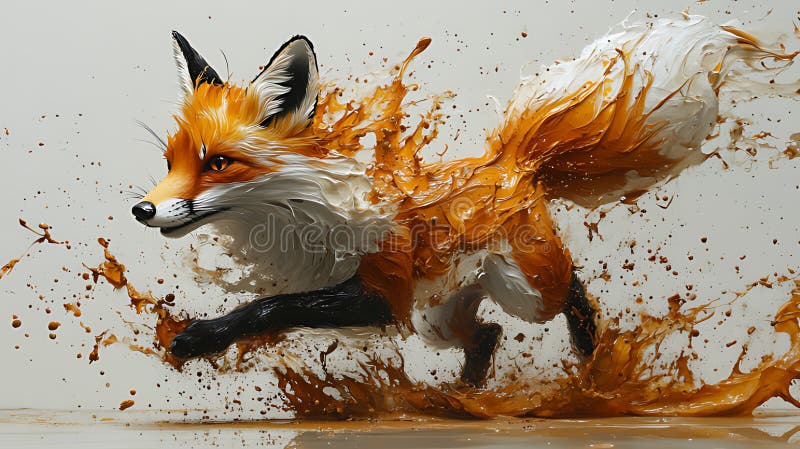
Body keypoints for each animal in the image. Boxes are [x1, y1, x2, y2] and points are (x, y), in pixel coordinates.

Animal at [133, 16, 794, 386]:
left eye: (218, 163)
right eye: (170, 164)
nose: (142, 210)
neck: (298, 215)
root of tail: (509, 163)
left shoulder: (382, 291)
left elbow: (271, 309)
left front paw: (199, 338)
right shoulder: (372, 300)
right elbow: (278, 307)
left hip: (523, 292)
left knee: (571, 294)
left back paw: (590, 366)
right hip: (437, 319)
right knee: (487, 337)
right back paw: (463, 397)